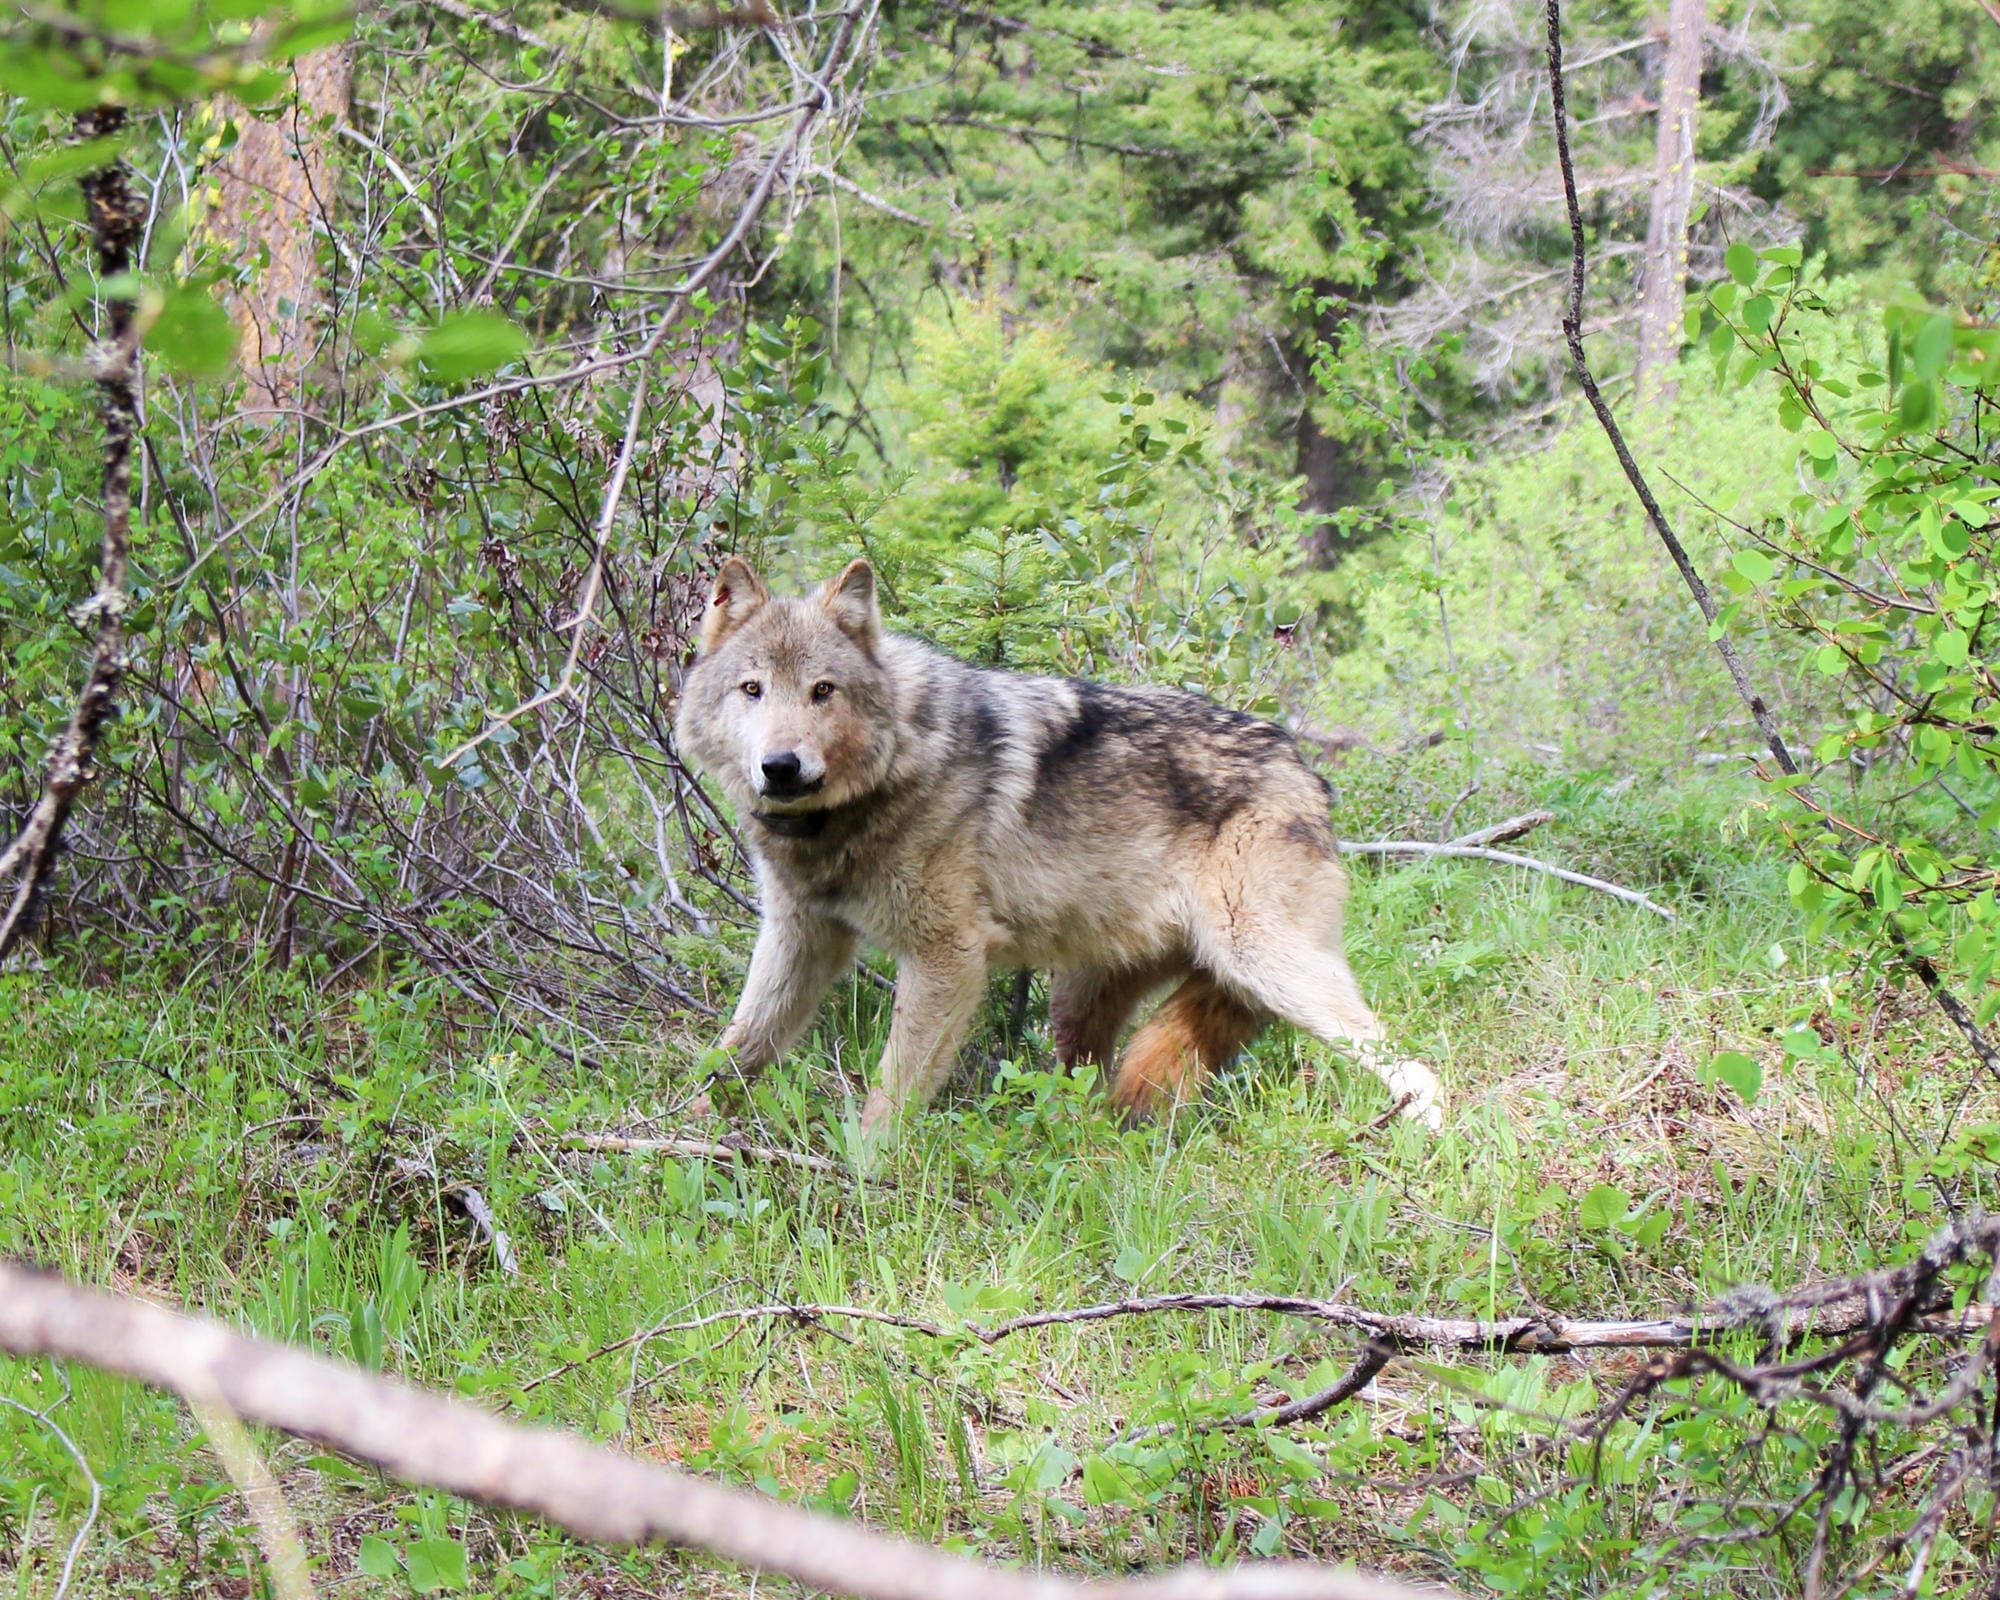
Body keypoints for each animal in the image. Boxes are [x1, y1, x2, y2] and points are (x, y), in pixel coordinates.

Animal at [673, 556, 1443, 1138]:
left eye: (822, 691)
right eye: (752, 689)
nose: (781, 766)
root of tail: (1305, 768)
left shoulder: (947, 957)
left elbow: (891, 1096)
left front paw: (866, 1176)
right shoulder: (799, 938)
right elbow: (735, 1049)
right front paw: (678, 1133)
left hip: (1266, 965)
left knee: (1415, 1065)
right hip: (1085, 1003)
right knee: (1090, 1091)